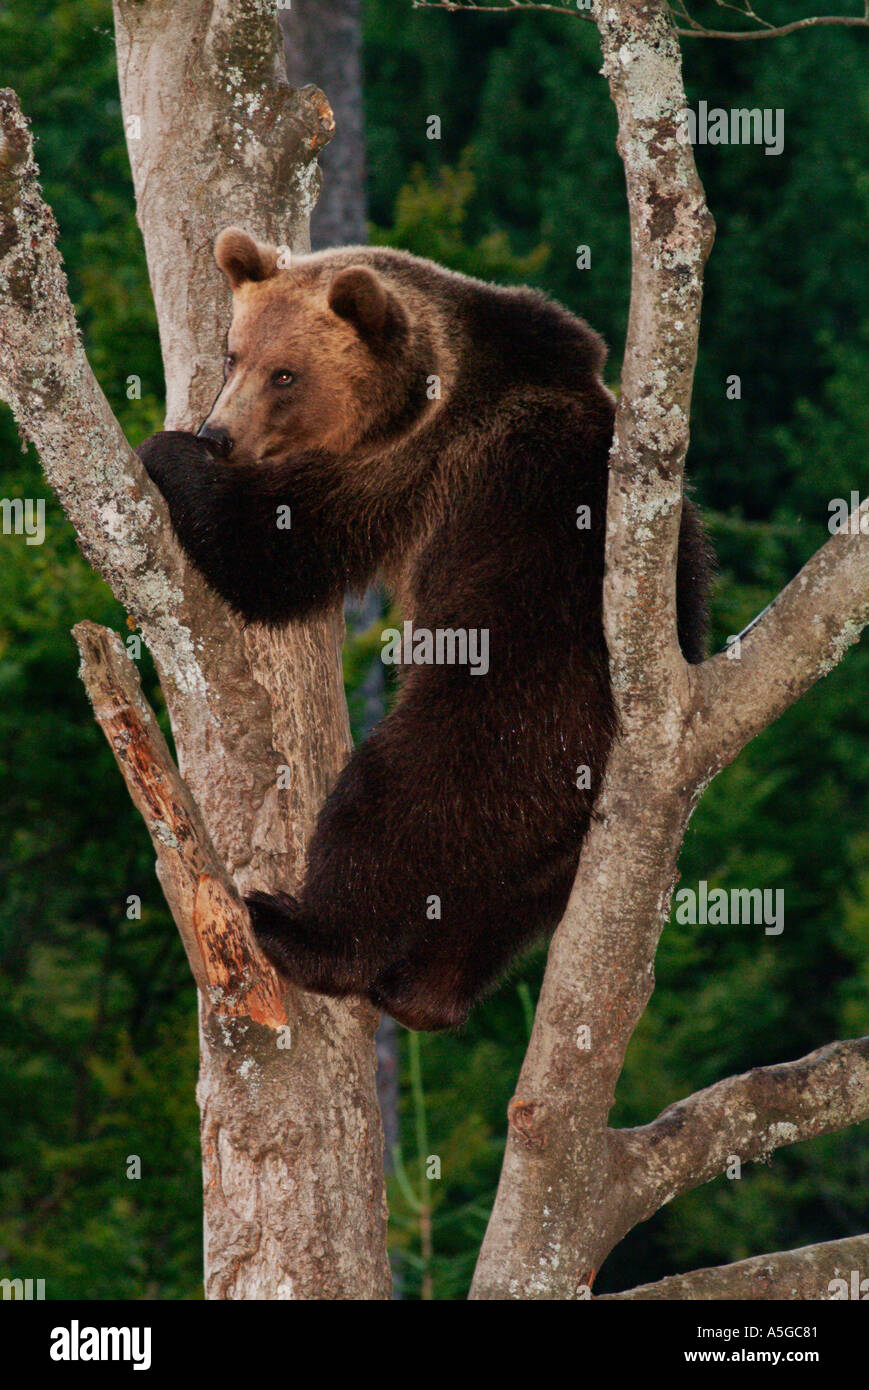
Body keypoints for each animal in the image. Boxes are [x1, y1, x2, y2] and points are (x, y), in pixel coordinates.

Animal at [137, 228, 711, 1032]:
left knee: (395, 805)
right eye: (231, 355)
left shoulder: (404, 472)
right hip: (562, 854)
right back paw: (422, 993)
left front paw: (166, 452)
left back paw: (298, 928)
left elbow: (271, 552)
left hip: (506, 726)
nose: (219, 434)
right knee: (498, 905)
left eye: (285, 375)